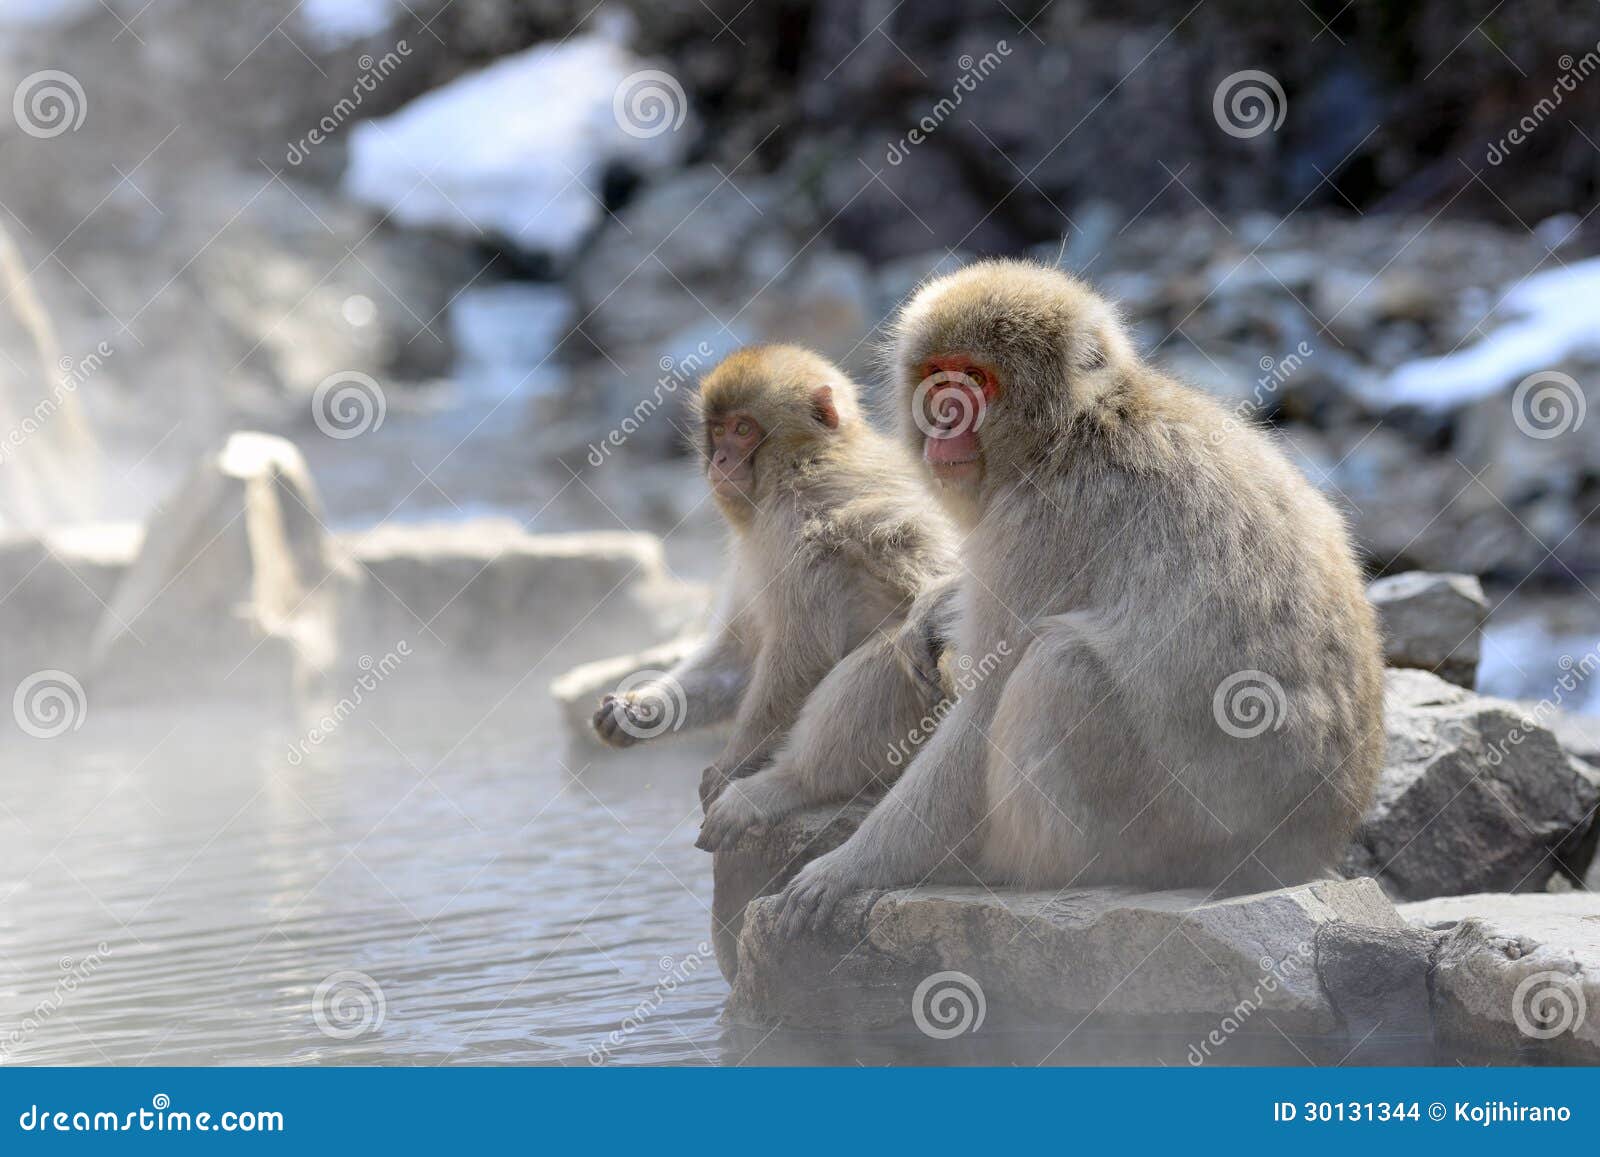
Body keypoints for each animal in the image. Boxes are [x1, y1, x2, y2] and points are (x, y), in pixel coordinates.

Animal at [590, 344, 960, 824]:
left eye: (744, 429)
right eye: (719, 429)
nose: (720, 461)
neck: (802, 461)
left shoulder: (794, 524)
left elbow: (803, 653)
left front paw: (734, 766)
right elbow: (739, 658)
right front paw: (638, 712)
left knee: (898, 646)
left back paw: (789, 784)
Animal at [773, 259, 1386, 936]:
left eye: (975, 381)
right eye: (937, 376)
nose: (942, 420)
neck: (1069, 433)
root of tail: (1313, 841)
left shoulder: (1040, 523)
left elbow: (985, 705)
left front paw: (853, 866)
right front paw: (934, 605)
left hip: (1181, 831)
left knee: (1061, 665)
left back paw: (1012, 868)